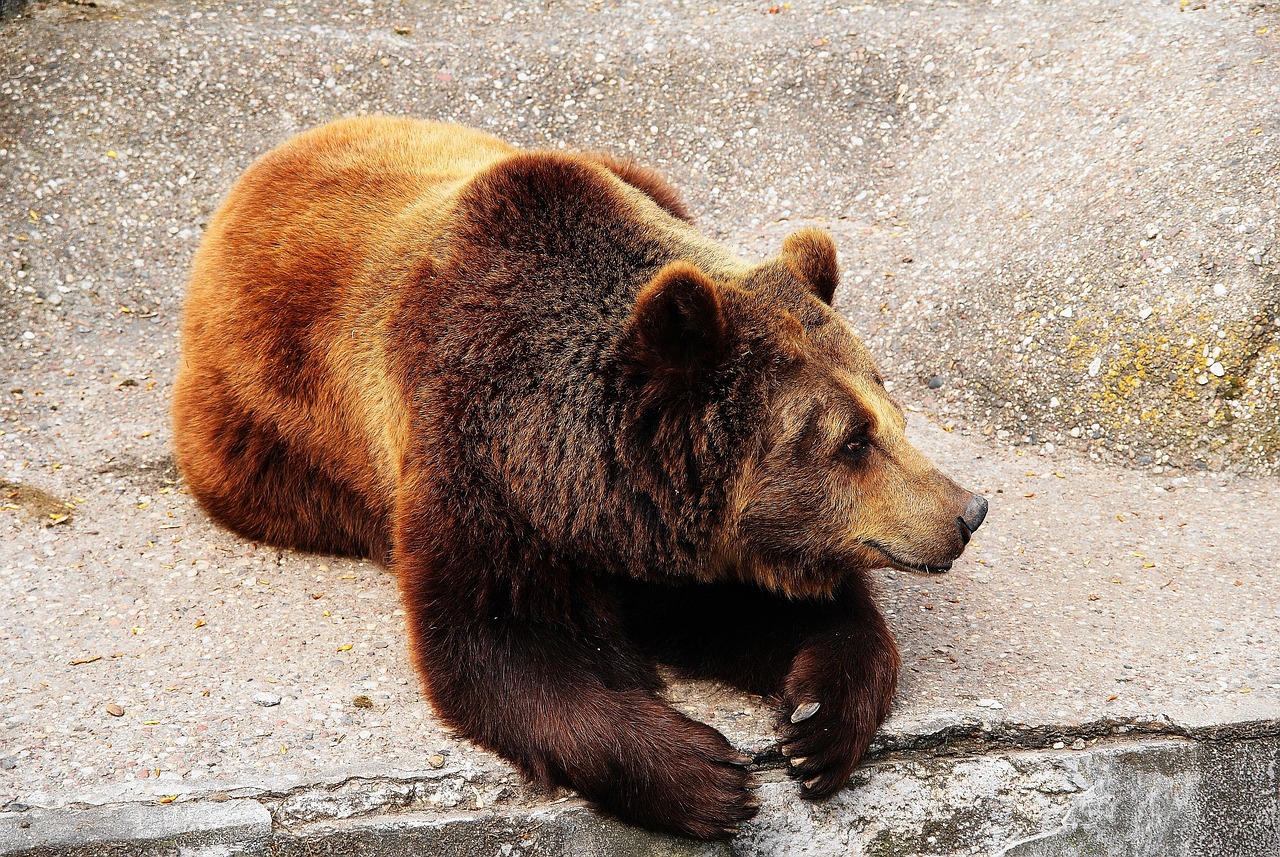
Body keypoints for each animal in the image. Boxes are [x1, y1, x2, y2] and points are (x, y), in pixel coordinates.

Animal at [172, 116, 988, 840]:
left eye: (891, 409)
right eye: (852, 440)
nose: (967, 510)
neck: (587, 489)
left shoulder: (676, 538)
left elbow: (767, 612)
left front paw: (816, 722)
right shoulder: (479, 471)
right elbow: (498, 644)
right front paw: (706, 773)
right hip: (257, 446)